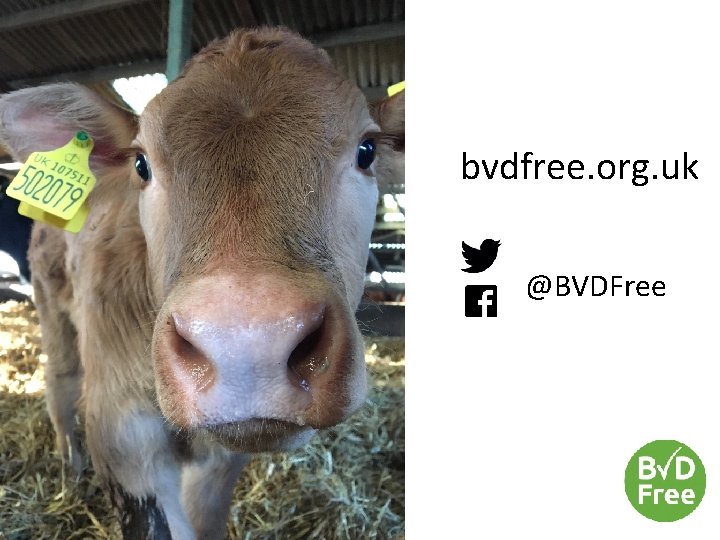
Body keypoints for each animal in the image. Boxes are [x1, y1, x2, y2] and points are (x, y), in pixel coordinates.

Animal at [0, 27, 404, 539]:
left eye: (366, 151)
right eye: (141, 164)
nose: (247, 345)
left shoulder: (221, 461)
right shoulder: (123, 439)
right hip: (52, 305)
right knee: (61, 381)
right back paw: (70, 465)